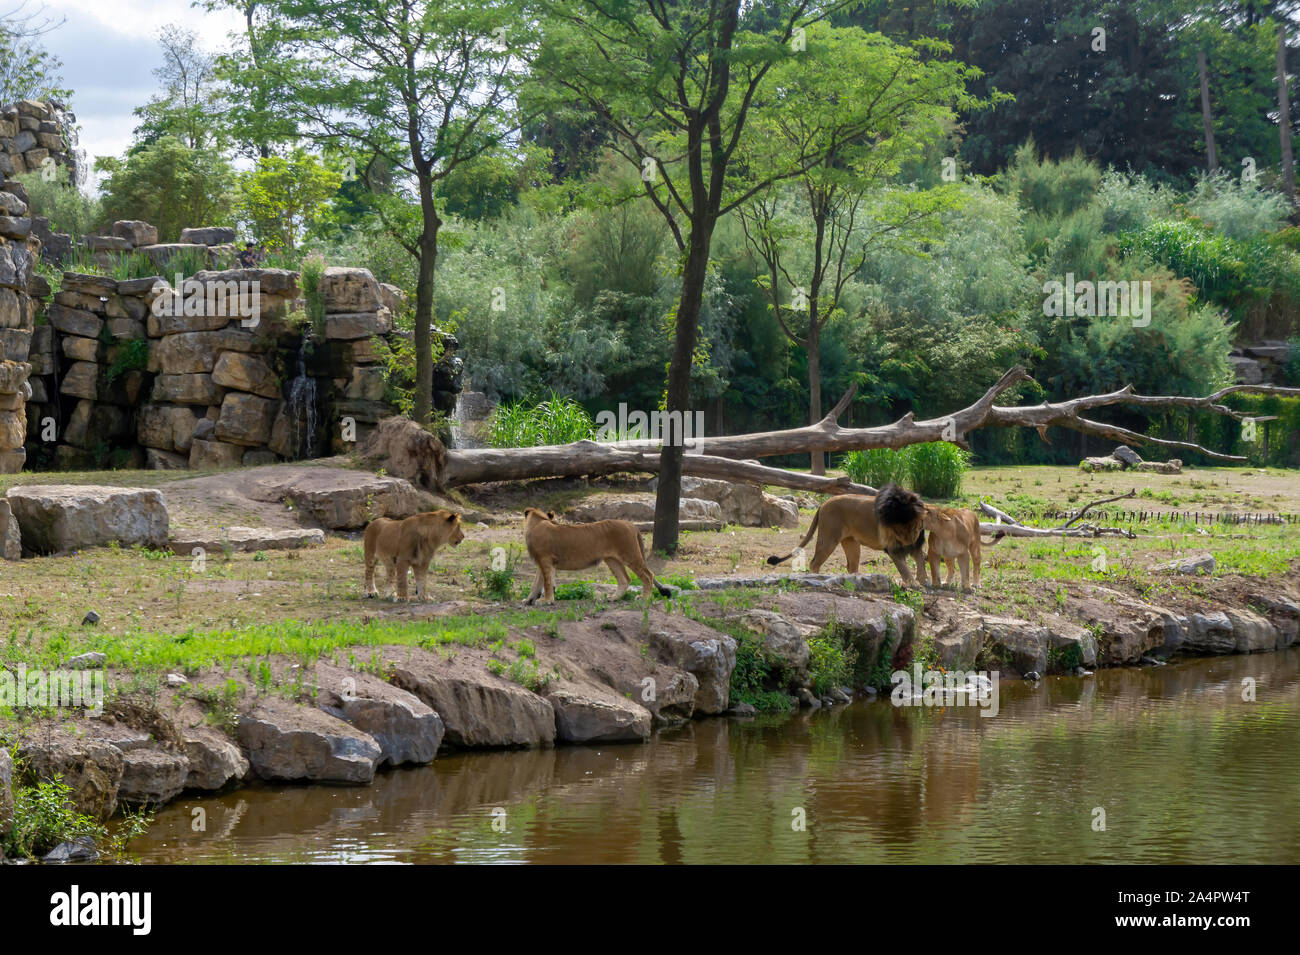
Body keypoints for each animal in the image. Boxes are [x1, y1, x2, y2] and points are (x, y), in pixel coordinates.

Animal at [522, 507, 673, 604]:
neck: (537, 522)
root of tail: (632, 525)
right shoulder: (543, 562)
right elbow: (537, 583)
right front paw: (529, 600)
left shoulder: (545, 559)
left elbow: (546, 582)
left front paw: (546, 600)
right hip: (612, 560)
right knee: (625, 579)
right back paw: (613, 598)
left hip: (630, 555)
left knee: (648, 575)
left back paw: (644, 598)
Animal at [766, 483, 927, 586]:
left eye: (915, 526)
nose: (910, 538)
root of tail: (823, 504)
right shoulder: (892, 548)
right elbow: (904, 569)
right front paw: (914, 584)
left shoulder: (916, 545)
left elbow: (920, 564)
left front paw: (923, 582)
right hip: (829, 538)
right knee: (814, 562)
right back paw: (817, 577)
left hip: (851, 543)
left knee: (851, 566)